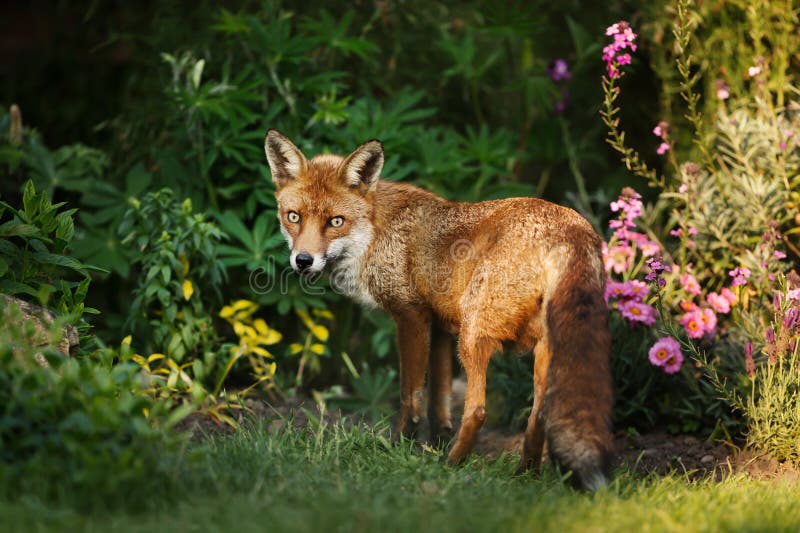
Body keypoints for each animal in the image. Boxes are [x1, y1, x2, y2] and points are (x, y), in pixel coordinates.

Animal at [264, 129, 614, 490]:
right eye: (293, 217)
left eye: (336, 221)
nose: (303, 261)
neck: (375, 232)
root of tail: (572, 229)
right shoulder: (442, 326)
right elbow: (439, 402)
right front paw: (435, 442)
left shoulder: (412, 317)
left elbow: (411, 396)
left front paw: (400, 448)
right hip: (543, 348)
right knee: (537, 417)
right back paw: (523, 477)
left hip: (473, 337)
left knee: (477, 411)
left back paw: (453, 464)